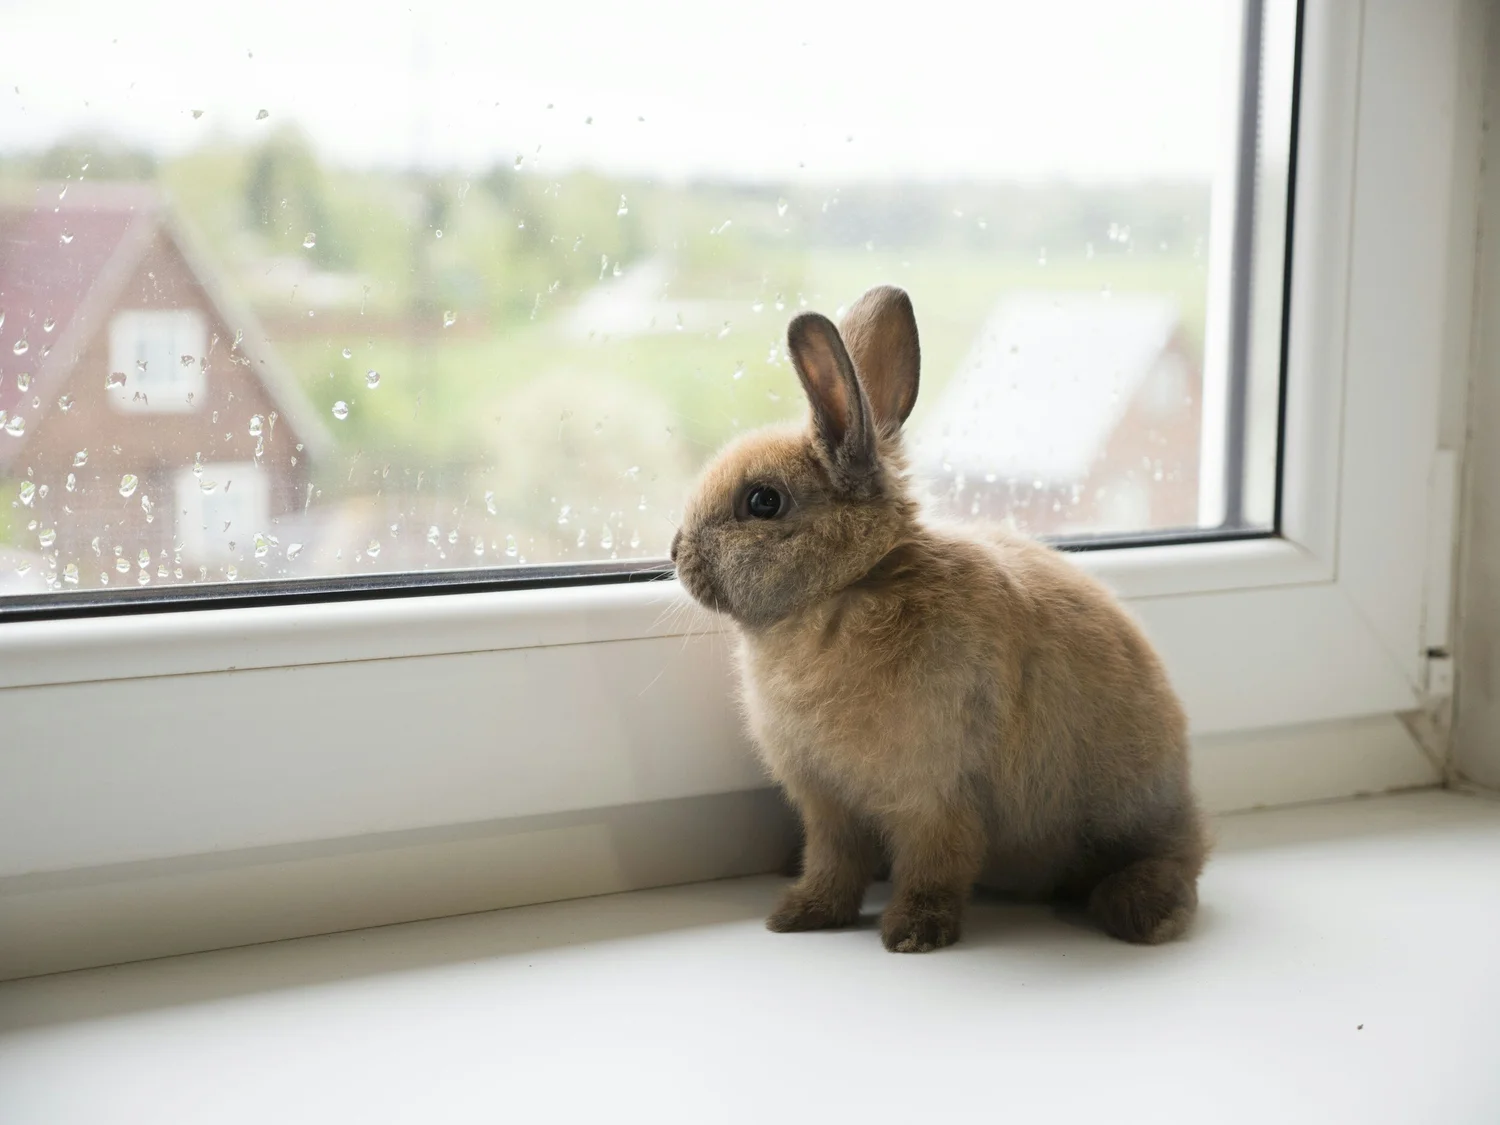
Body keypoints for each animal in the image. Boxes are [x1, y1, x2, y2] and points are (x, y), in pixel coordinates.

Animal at [670, 285, 1208, 953]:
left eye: (763, 501)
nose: (675, 552)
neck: (850, 586)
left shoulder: (935, 796)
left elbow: (937, 863)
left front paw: (913, 933)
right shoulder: (829, 807)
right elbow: (832, 863)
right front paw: (800, 915)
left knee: (1177, 863)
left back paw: (1143, 912)